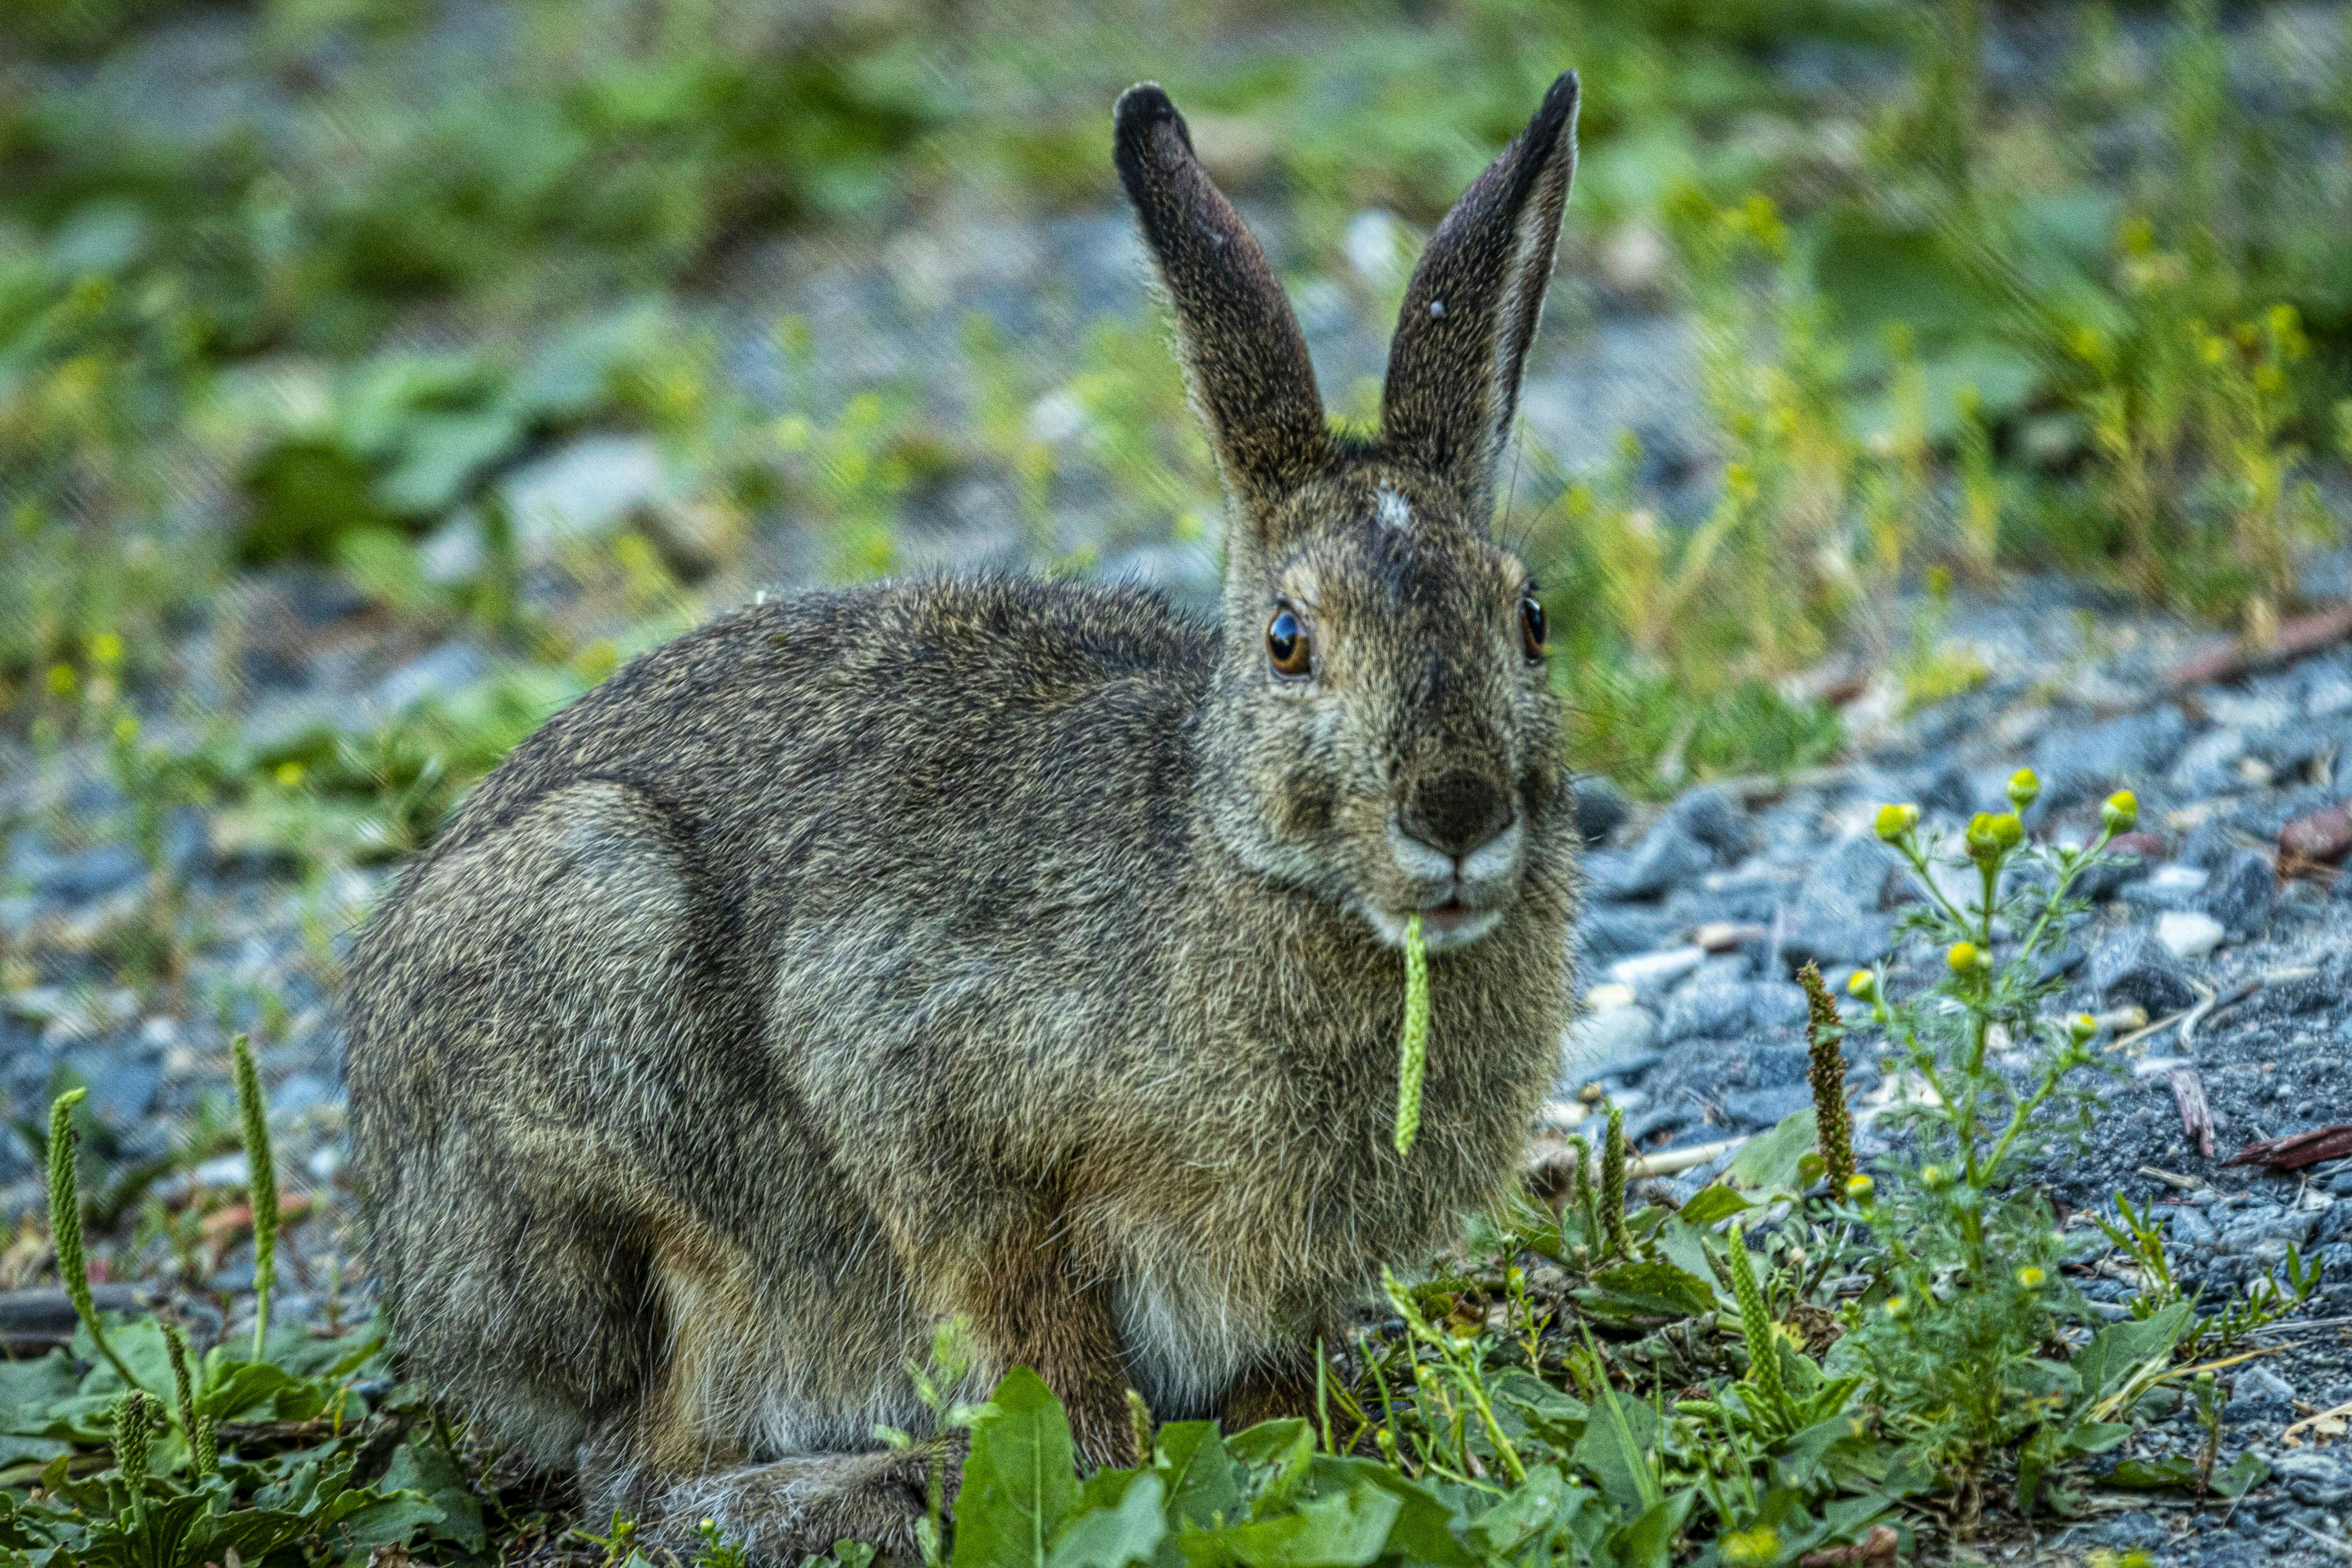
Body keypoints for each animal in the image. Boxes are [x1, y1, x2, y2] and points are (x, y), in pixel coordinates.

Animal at [345, 68, 1583, 1564]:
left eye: (1530, 620)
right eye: (1289, 643)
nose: (1456, 814)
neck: (1239, 864)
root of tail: (403, 1247)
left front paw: (1311, 1443)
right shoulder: (914, 1082)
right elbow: (1037, 1330)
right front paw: (1108, 1478)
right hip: (626, 1062)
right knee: (638, 1466)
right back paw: (876, 1490)